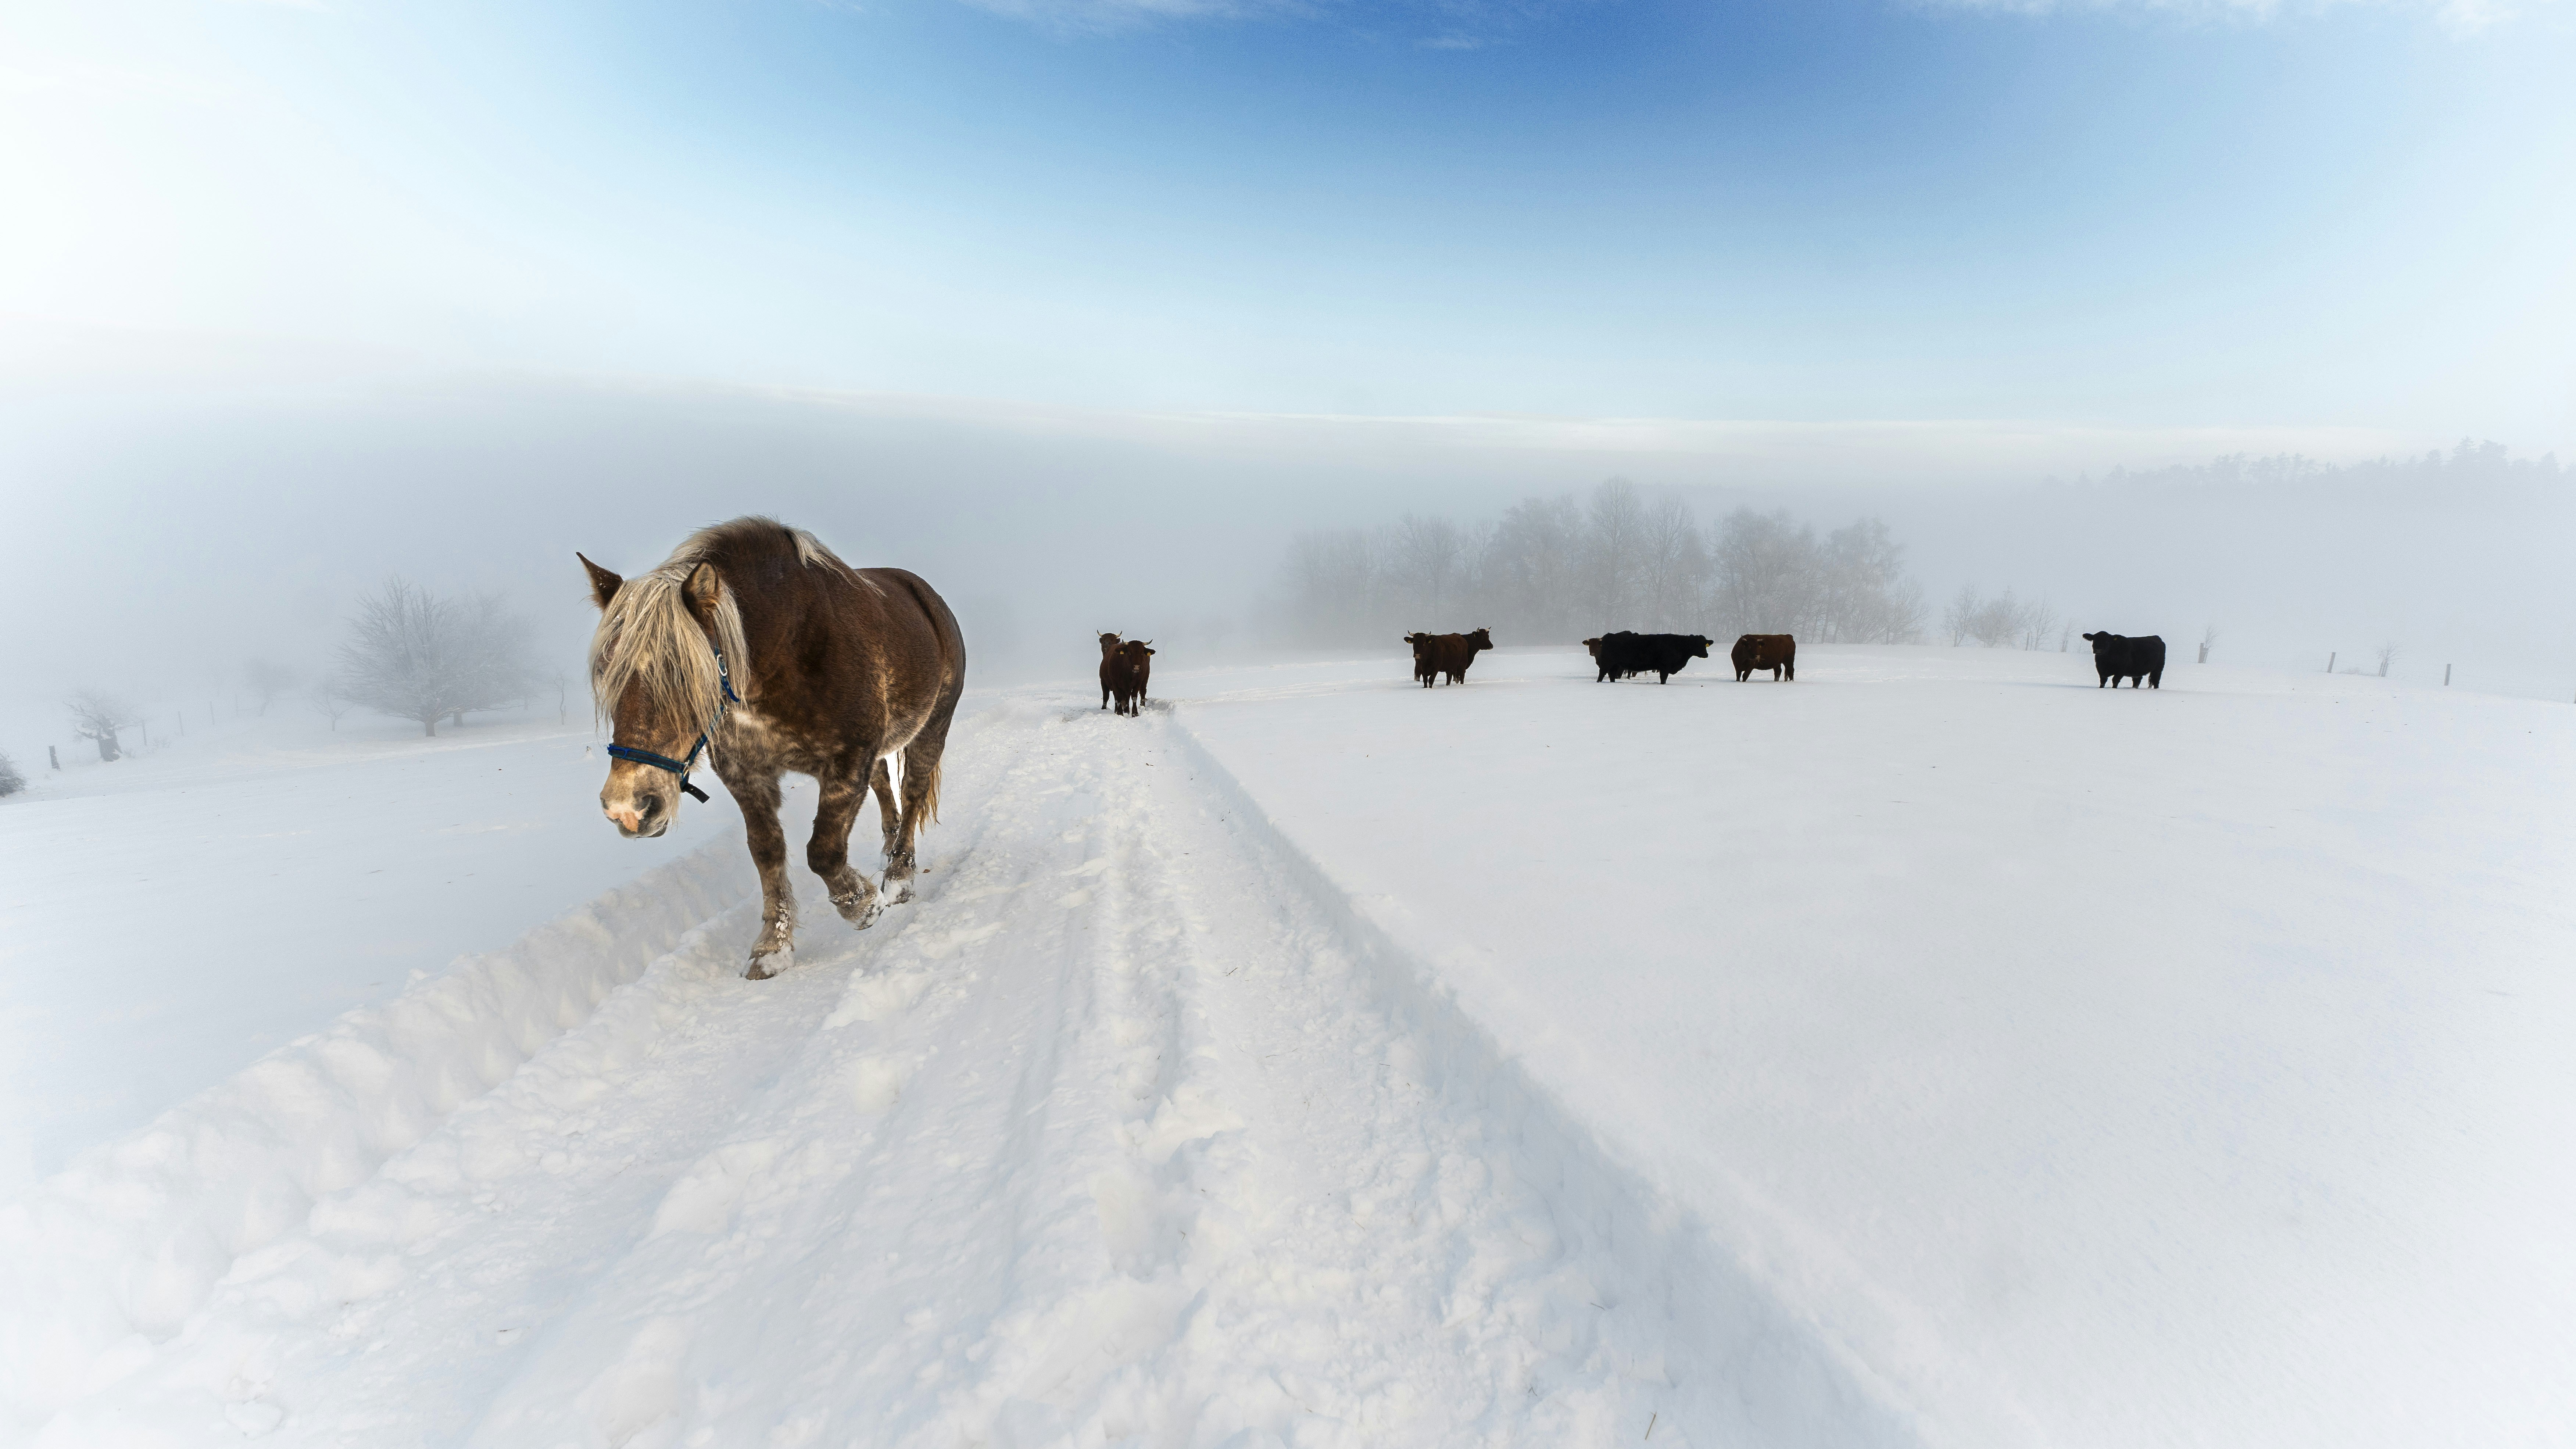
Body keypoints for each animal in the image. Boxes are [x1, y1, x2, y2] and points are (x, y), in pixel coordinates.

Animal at [581, 517, 966, 980]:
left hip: (933, 728)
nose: (628, 808)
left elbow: (824, 852)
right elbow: (767, 851)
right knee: (884, 787)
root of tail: (927, 598)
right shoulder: (745, 774)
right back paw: (887, 852)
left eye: (683, 673)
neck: (789, 652)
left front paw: (861, 904)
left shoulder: (846, 763)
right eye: (606, 672)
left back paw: (899, 876)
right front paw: (773, 947)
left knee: (912, 794)